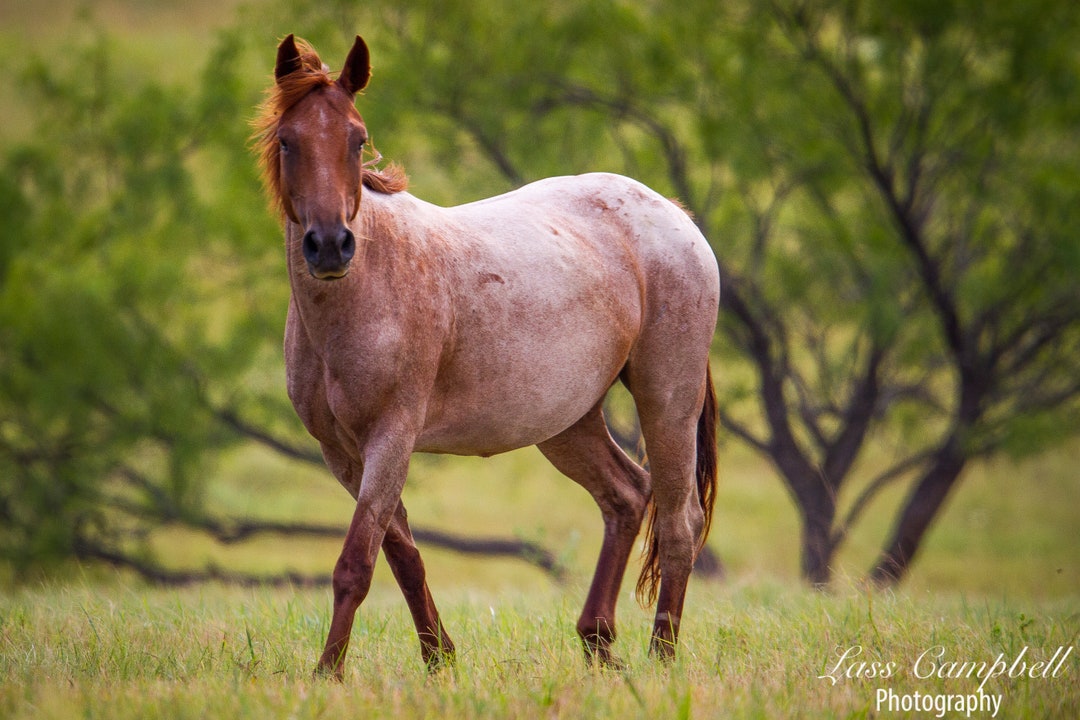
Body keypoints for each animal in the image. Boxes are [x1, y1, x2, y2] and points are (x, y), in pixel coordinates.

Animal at [252, 34, 721, 679]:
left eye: (356, 137)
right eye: (287, 140)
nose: (328, 246)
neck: (368, 285)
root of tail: (675, 215)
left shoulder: (391, 438)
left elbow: (356, 564)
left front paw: (328, 673)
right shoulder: (342, 453)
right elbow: (403, 556)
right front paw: (438, 660)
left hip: (668, 399)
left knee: (679, 522)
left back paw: (662, 657)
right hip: (567, 421)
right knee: (627, 496)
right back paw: (598, 643)